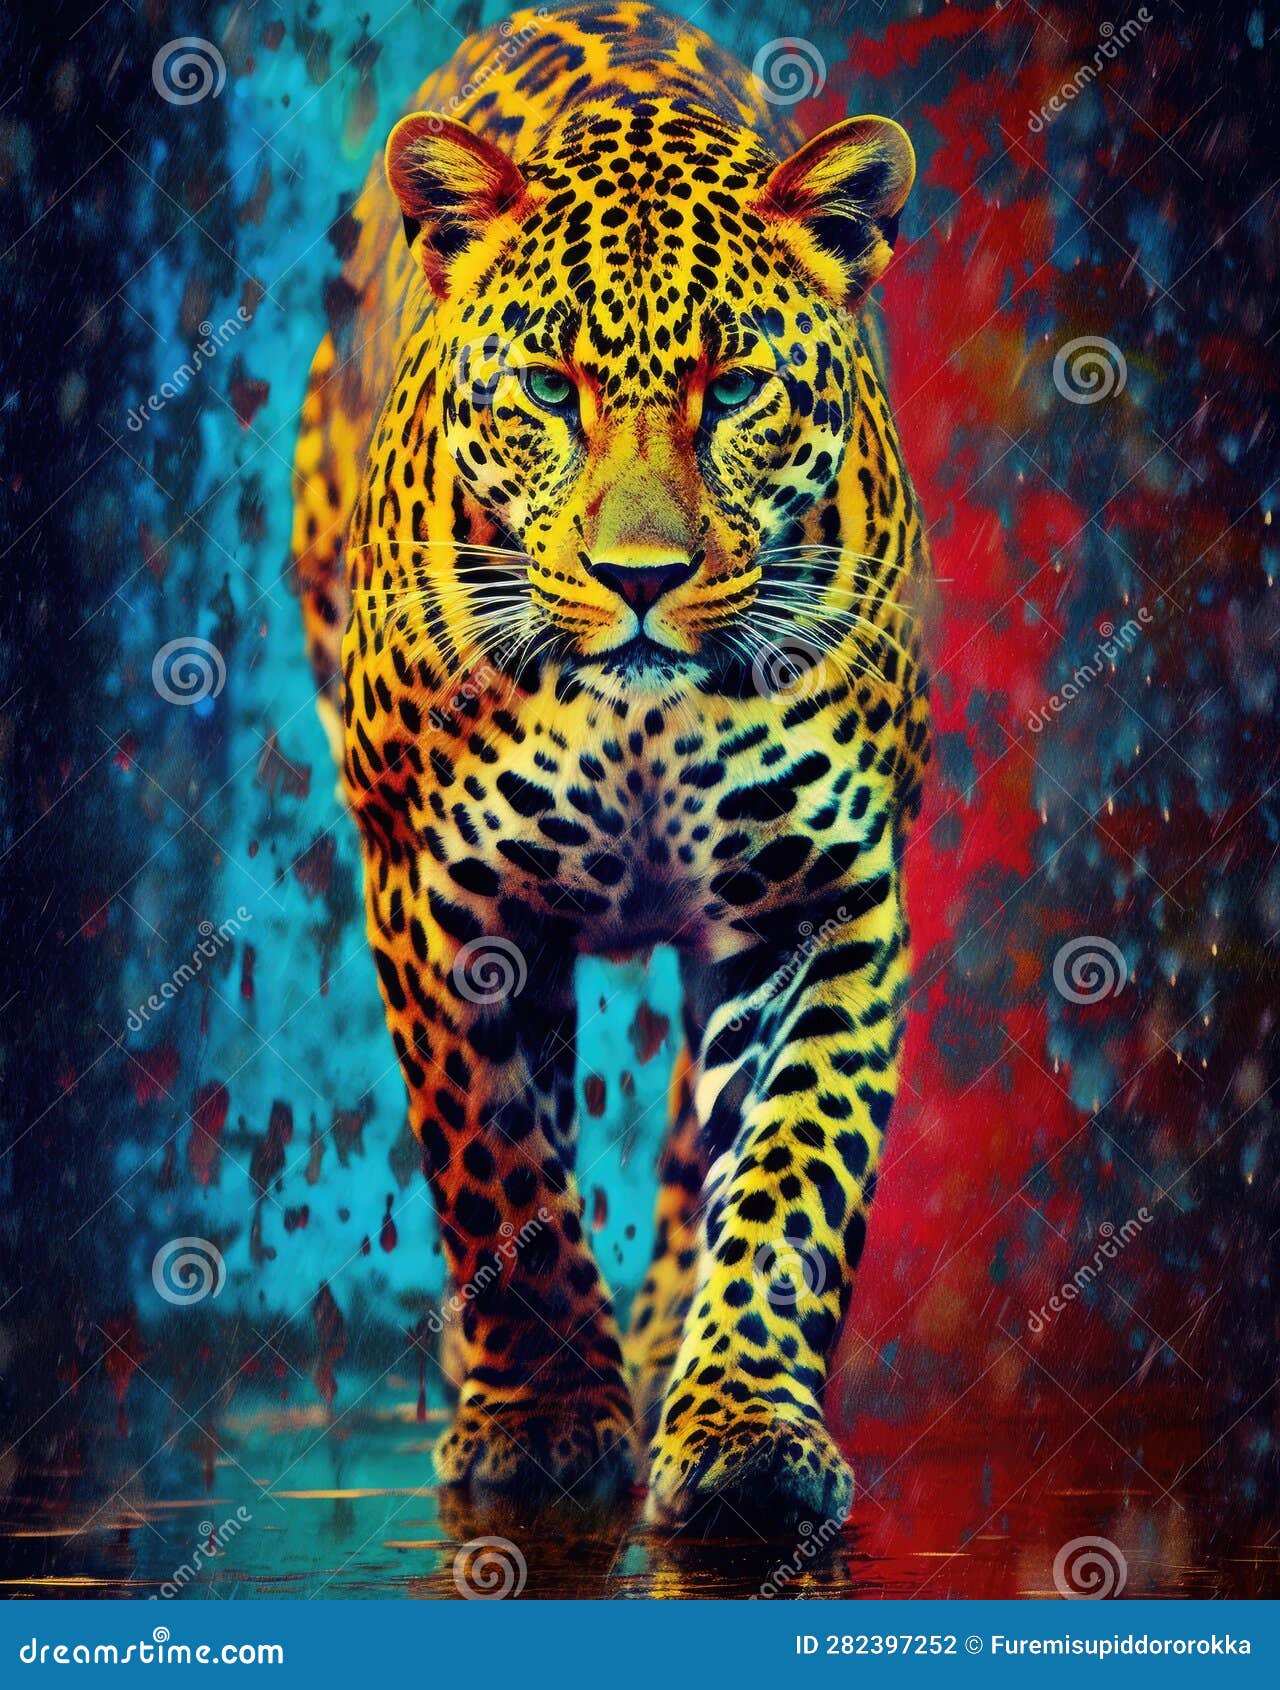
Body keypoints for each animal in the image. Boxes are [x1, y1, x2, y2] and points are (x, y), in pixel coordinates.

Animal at [290, 0, 930, 1534]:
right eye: (548, 387)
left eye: (734, 387)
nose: (641, 578)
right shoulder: (440, 896)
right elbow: (494, 1164)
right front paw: (539, 1419)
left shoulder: (826, 899)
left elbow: (791, 1169)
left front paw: (747, 1428)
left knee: (698, 1151)